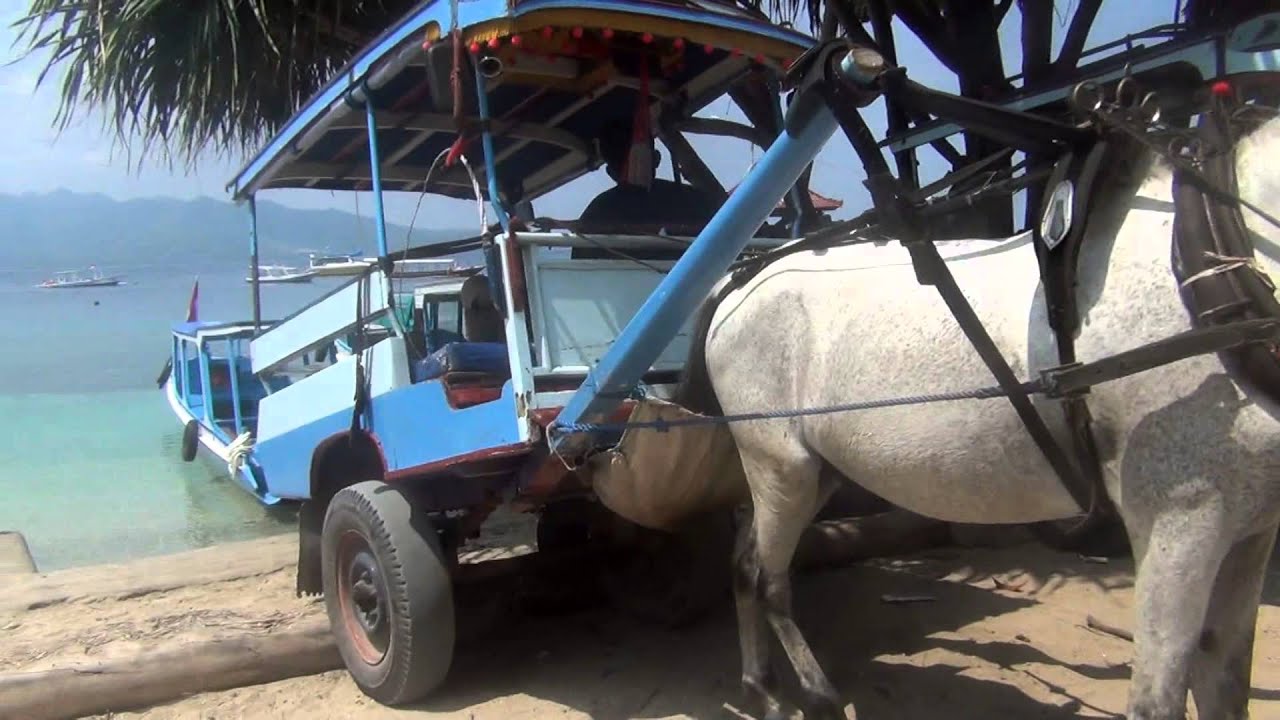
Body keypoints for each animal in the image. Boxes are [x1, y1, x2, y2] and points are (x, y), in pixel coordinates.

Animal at [675, 112, 1280, 719]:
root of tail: (740, 279)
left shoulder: (1252, 528)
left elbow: (1225, 674)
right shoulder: (1182, 518)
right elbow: (1158, 700)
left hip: (812, 470)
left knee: (745, 562)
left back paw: (762, 686)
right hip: (779, 464)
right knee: (768, 579)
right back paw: (814, 694)